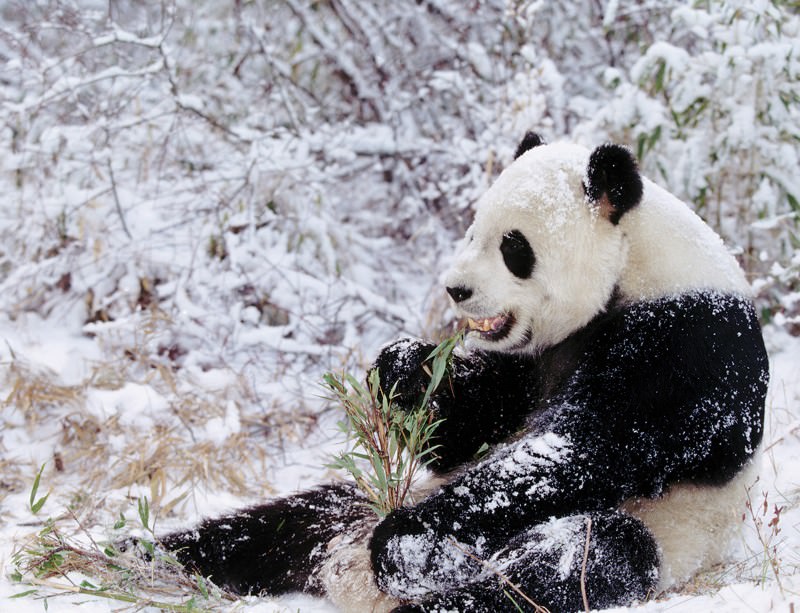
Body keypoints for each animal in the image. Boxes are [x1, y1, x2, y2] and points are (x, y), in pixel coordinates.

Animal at [160, 133, 768, 613]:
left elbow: (585, 447)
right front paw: (403, 369)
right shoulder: (531, 357)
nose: (455, 289)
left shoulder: (686, 343)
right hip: (348, 505)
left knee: (561, 566)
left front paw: (409, 543)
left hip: (666, 529)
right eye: (472, 231)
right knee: (269, 527)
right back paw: (147, 556)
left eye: (513, 247)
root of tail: (342, 578)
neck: (635, 259)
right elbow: (470, 423)